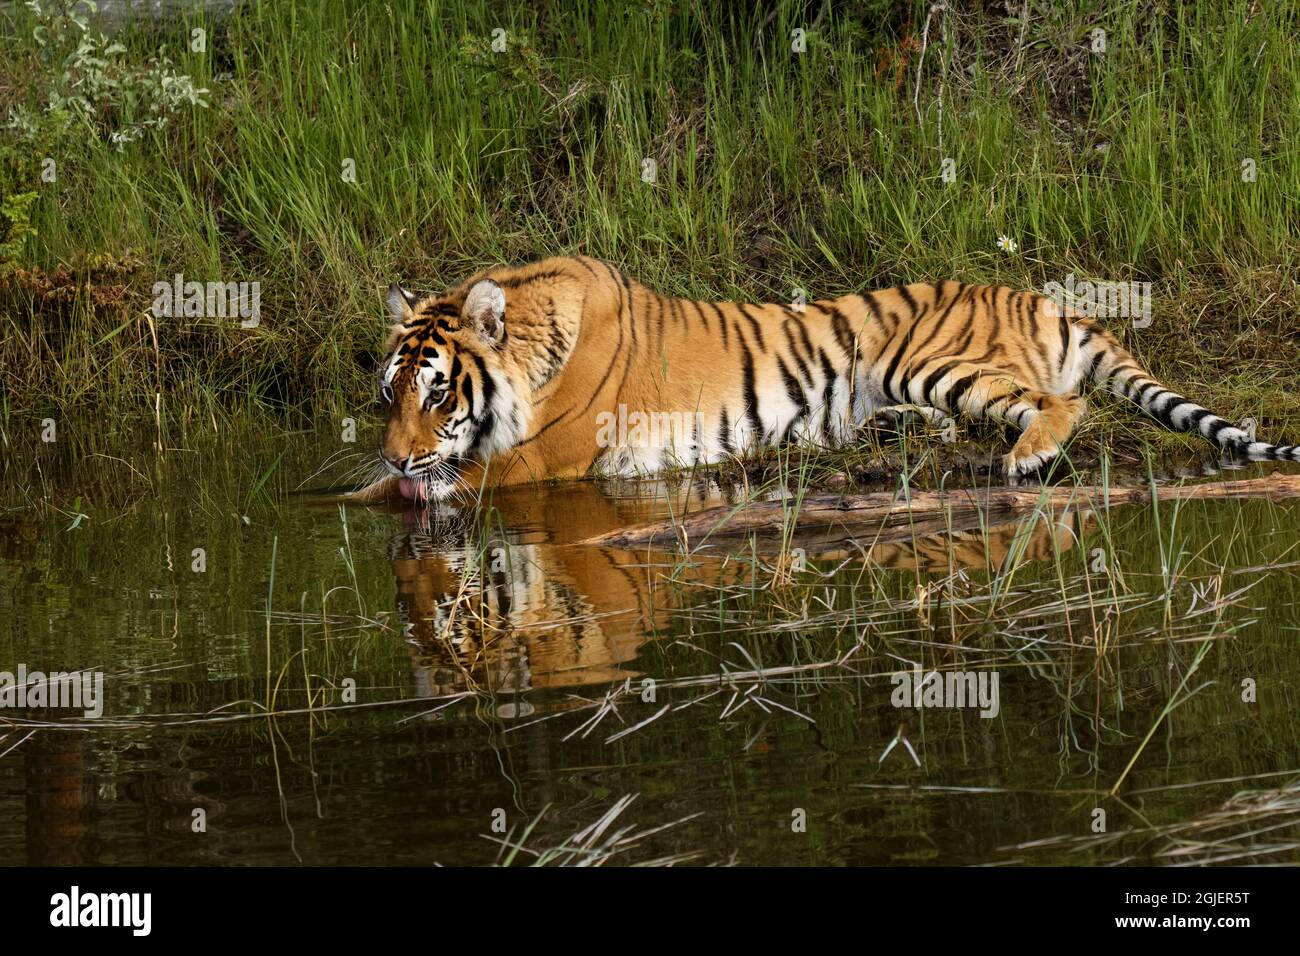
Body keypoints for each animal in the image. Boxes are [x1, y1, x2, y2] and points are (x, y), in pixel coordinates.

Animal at [350, 254, 1299, 503]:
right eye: (390, 393)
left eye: (439, 391)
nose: (396, 455)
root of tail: (1042, 299)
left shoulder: (547, 454)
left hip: (924, 357)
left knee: (1061, 401)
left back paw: (1029, 457)